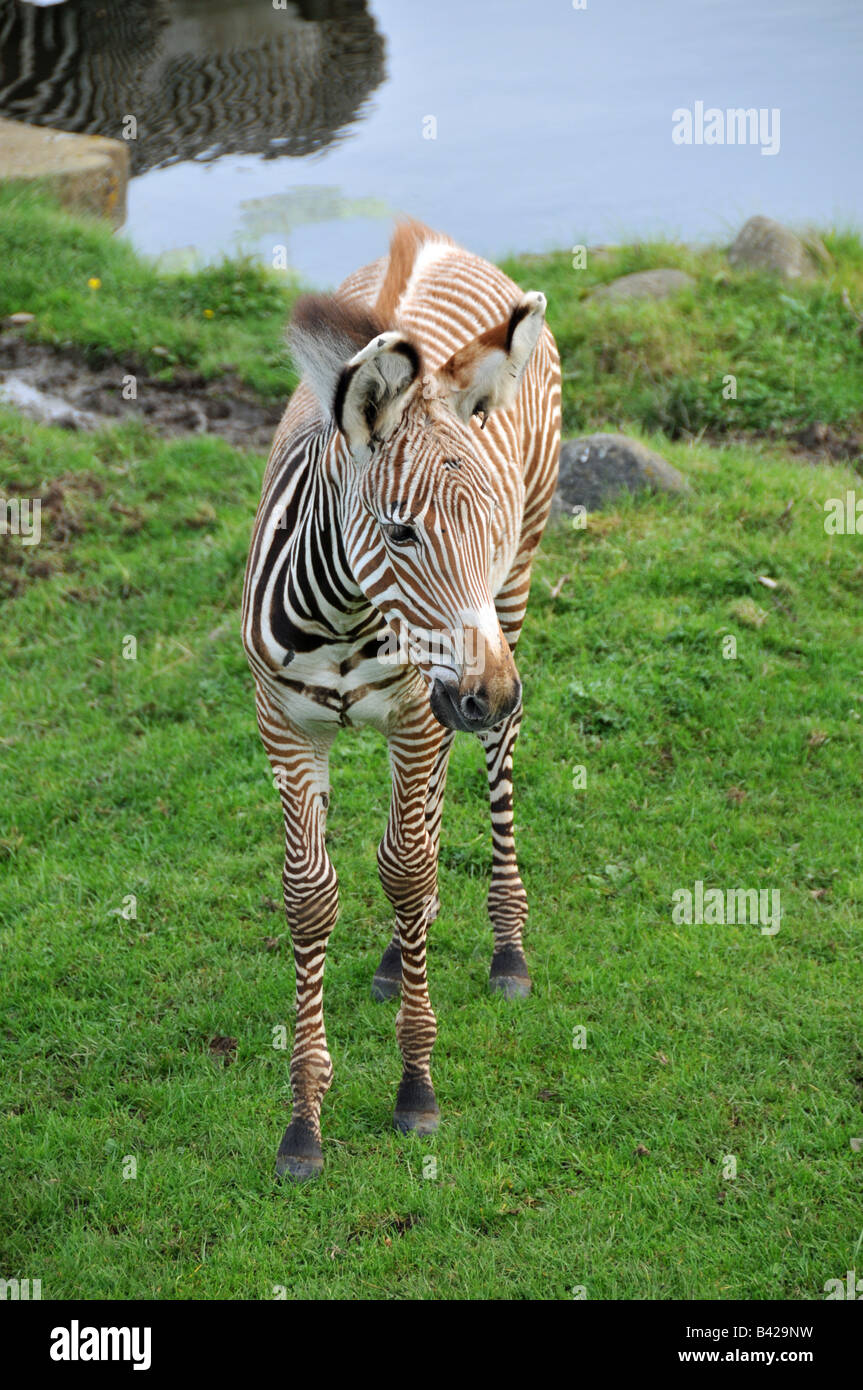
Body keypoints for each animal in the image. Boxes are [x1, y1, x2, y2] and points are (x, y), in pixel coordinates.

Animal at [242, 220, 561, 1179]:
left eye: (483, 522)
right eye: (400, 532)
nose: (491, 691)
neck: (344, 616)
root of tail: (438, 244)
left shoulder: (425, 708)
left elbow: (408, 867)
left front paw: (415, 1086)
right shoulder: (285, 729)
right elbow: (314, 893)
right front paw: (304, 1120)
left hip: (511, 598)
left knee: (487, 768)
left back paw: (505, 947)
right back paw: (397, 948)